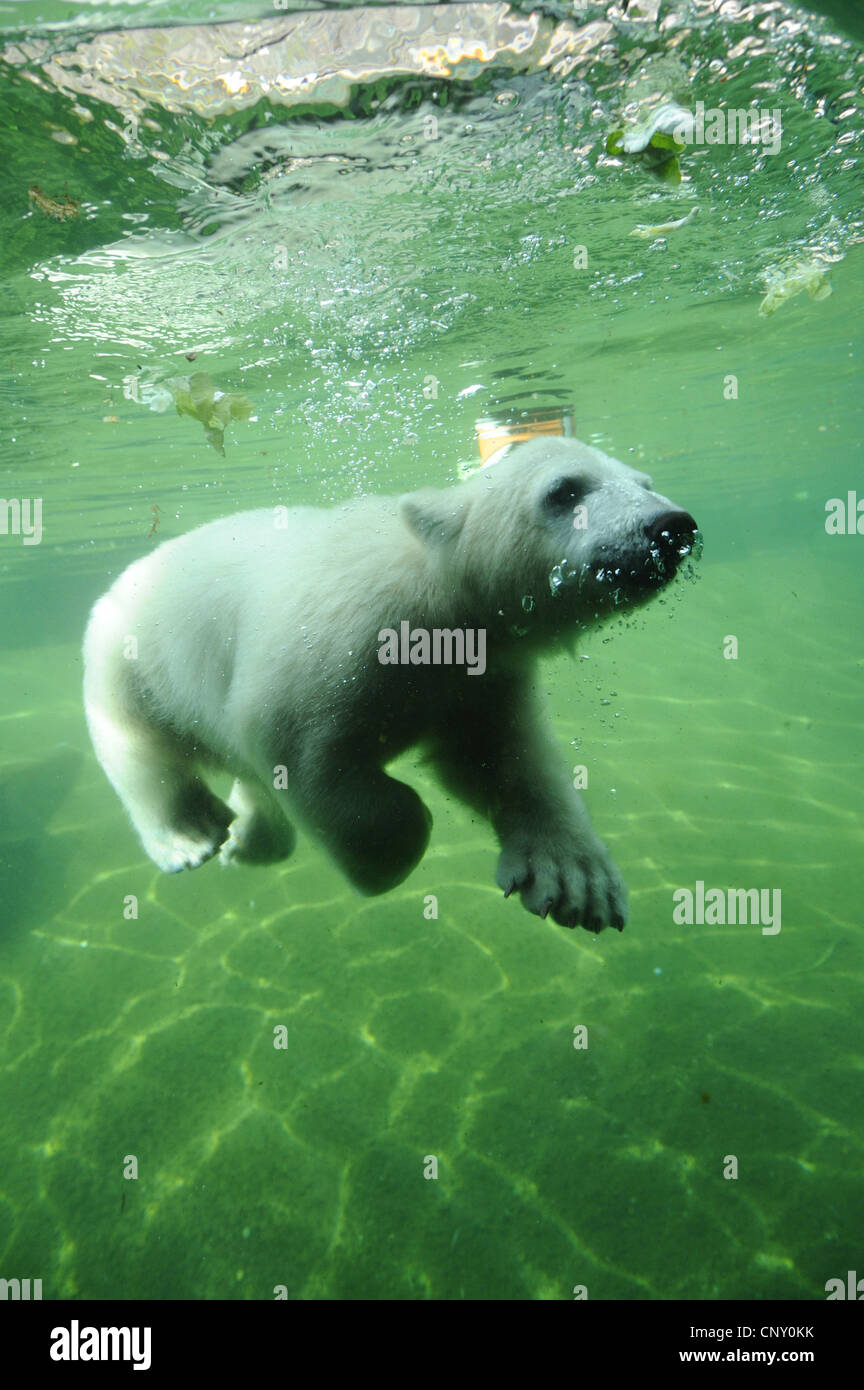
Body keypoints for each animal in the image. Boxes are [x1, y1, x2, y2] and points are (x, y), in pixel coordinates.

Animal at [83, 436, 699, 933]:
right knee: (141, 751)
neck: (436, 600)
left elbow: (500, 757)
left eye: (644, 482)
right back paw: (192, 835)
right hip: (129, 660)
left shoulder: (483, 677)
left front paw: (576, 882)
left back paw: (254, 839)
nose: (671, 527)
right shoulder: (340, 640)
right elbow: (299, 749)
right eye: (564, 490)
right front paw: (393, 848)